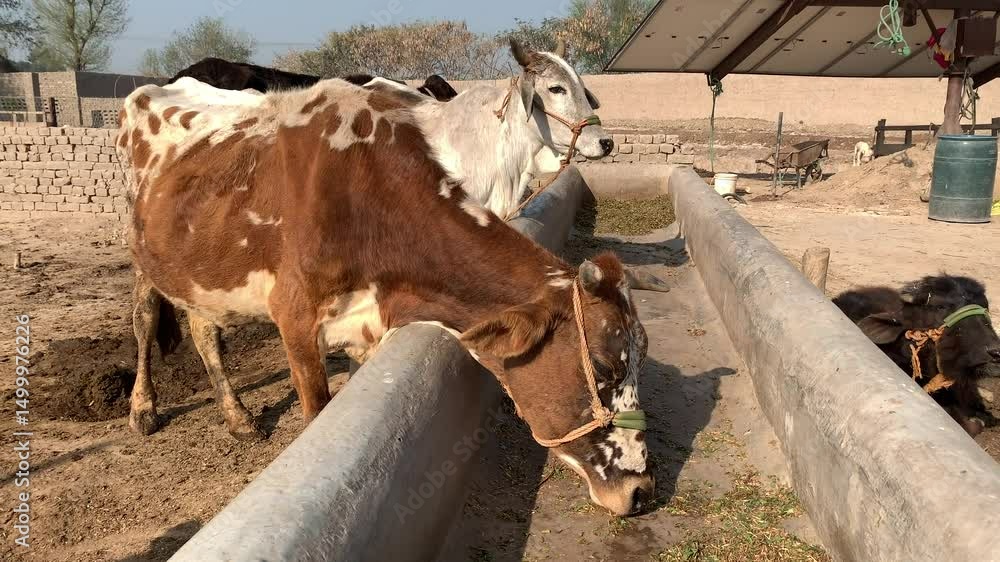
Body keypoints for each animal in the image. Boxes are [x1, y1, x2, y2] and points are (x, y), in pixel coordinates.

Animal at [115, 73, 654, 515]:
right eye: (603, 368)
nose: (641, 490)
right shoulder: (295, 318)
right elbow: (316, 413)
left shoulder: (366, 328)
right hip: (144, 254)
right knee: (145, 319)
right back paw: (143, 408)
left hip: (198, 273)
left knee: (204, 329)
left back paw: (237, 416)